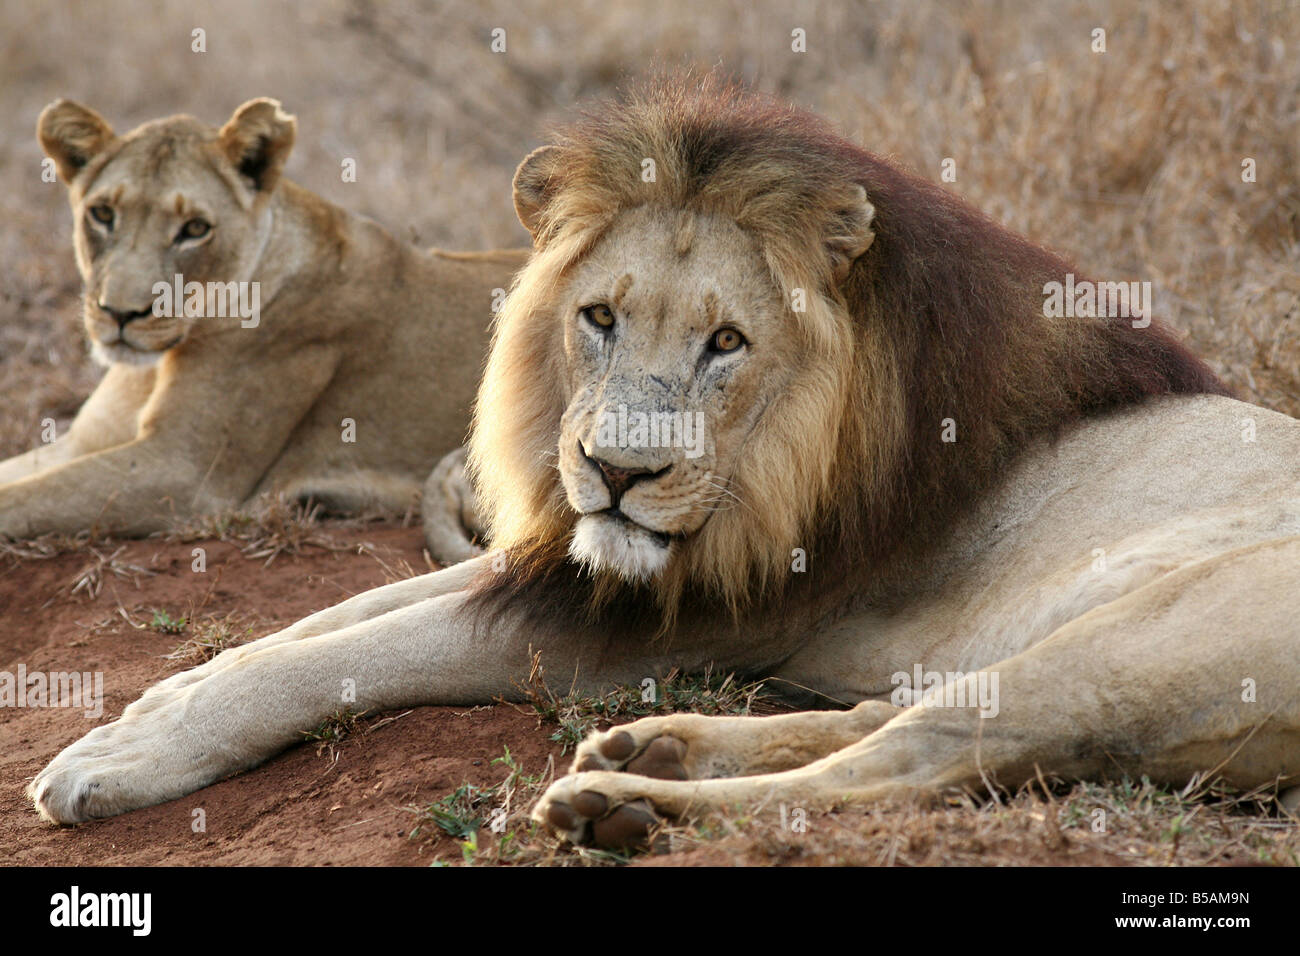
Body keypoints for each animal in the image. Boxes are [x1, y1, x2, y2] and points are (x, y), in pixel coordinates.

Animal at [0, 97, 525, 560]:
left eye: (195, 228)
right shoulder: (83, 442)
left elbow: (21, 499)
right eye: (103, 214)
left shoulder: (183, 472)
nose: (121, 314)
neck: (154, 365)